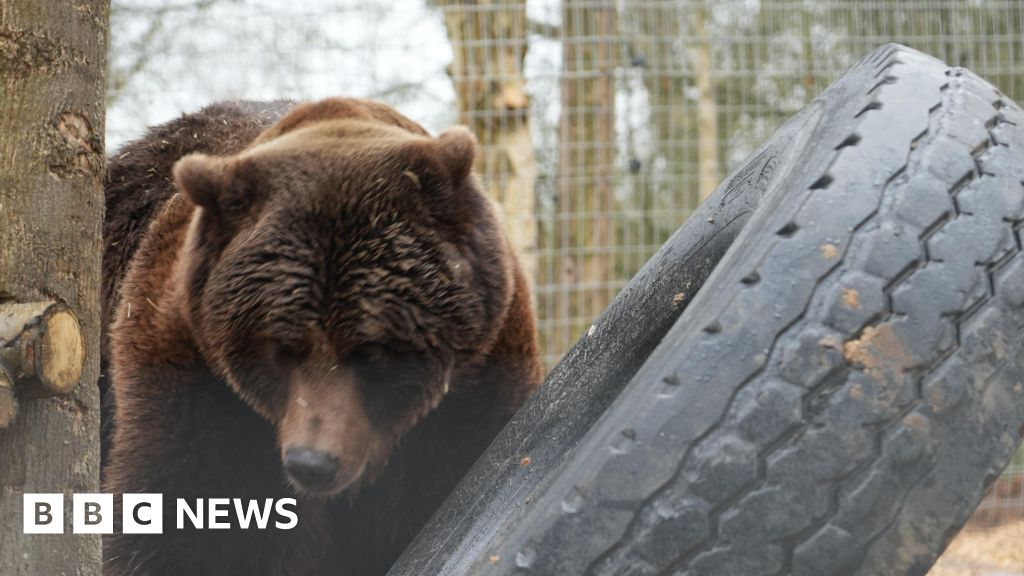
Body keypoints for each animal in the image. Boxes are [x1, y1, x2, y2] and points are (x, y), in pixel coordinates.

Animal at [101, 97, 543, 576]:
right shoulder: (198, 387)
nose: (313, 463)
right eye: (280, 347)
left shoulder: (474, 387)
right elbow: (192, 528)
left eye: (372, 350)